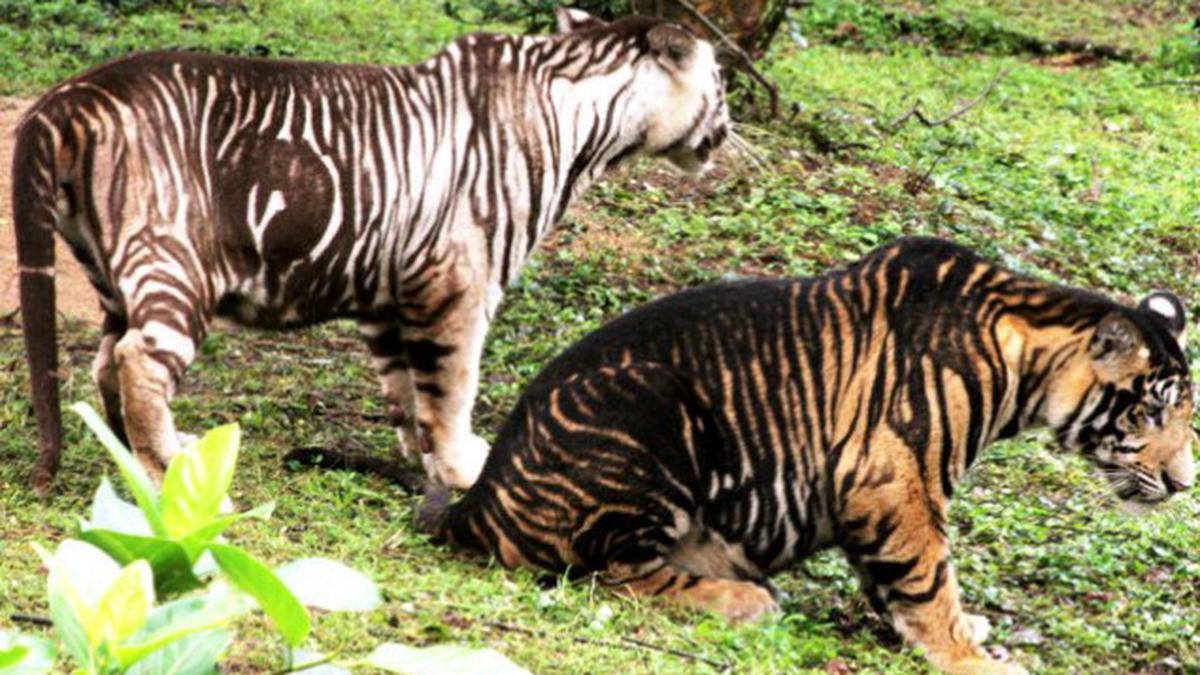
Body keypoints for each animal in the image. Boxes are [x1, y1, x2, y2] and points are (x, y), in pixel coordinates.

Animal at [11, 7, 729, 492]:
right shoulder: (460, 282)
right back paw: (168, 465)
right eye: (720, 82)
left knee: (104, 362)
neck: (587, 119)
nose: (726, 129)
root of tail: (72, 95)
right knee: (136, 361)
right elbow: (454, 383)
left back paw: (128, 450)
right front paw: (462, 467)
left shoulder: (392, 291)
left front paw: (424, 458)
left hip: (110, 277)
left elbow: (410, 387)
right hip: (173, 262)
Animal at [415, 237, 1194, 674]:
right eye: (1154, 410)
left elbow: (900, 577)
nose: (1183, 483)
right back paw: (741, 597)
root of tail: (476, 499)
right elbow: (927, 575)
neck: (1023, 366)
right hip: (652, 407)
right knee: (604, 570)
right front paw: (969, 658)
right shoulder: (894, 474)